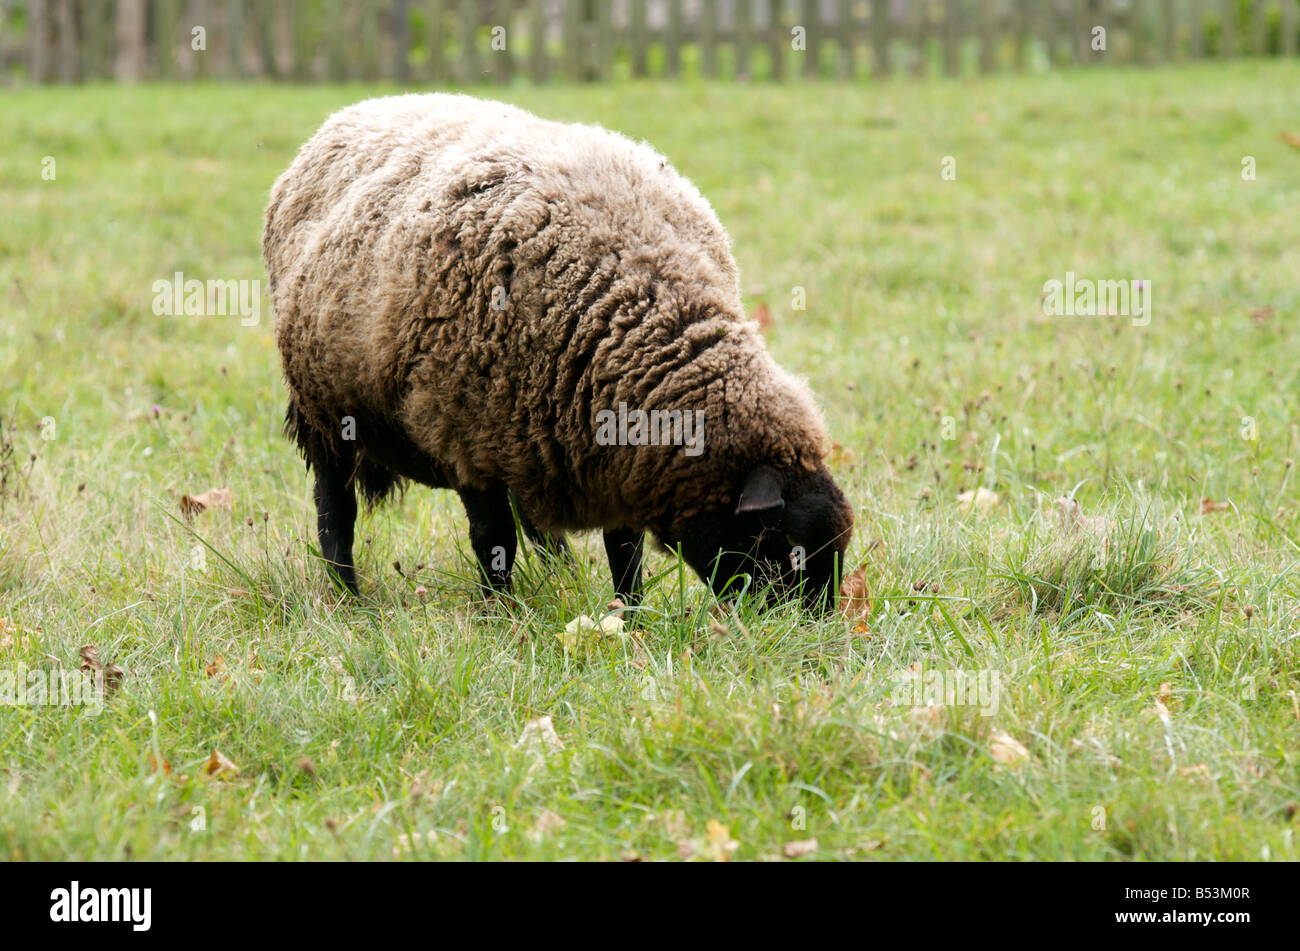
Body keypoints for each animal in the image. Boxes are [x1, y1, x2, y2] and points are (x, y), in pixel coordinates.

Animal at [263, 93, 853, 612]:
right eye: (784, 545)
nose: (812, 634)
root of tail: (352, 111)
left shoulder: (608, 443)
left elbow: (623, 547)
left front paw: (629, 614)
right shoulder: (465, 438)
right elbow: (492, 539)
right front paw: (501, 616)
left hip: (527, 432)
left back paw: (561, 574)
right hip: (326, 412)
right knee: (335, 510)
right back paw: (348, 598)